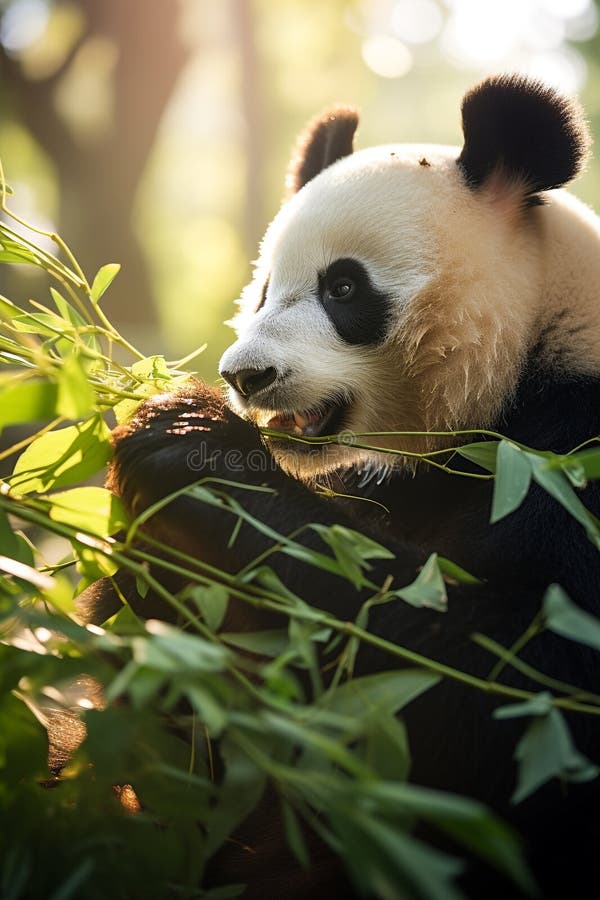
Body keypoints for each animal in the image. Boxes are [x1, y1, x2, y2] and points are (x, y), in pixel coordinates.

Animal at [80, 75, 600, 898]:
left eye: (345, 287)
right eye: (264, 289)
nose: (245, 376)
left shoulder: (567, 462)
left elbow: (513, 689)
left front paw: (190, 450)